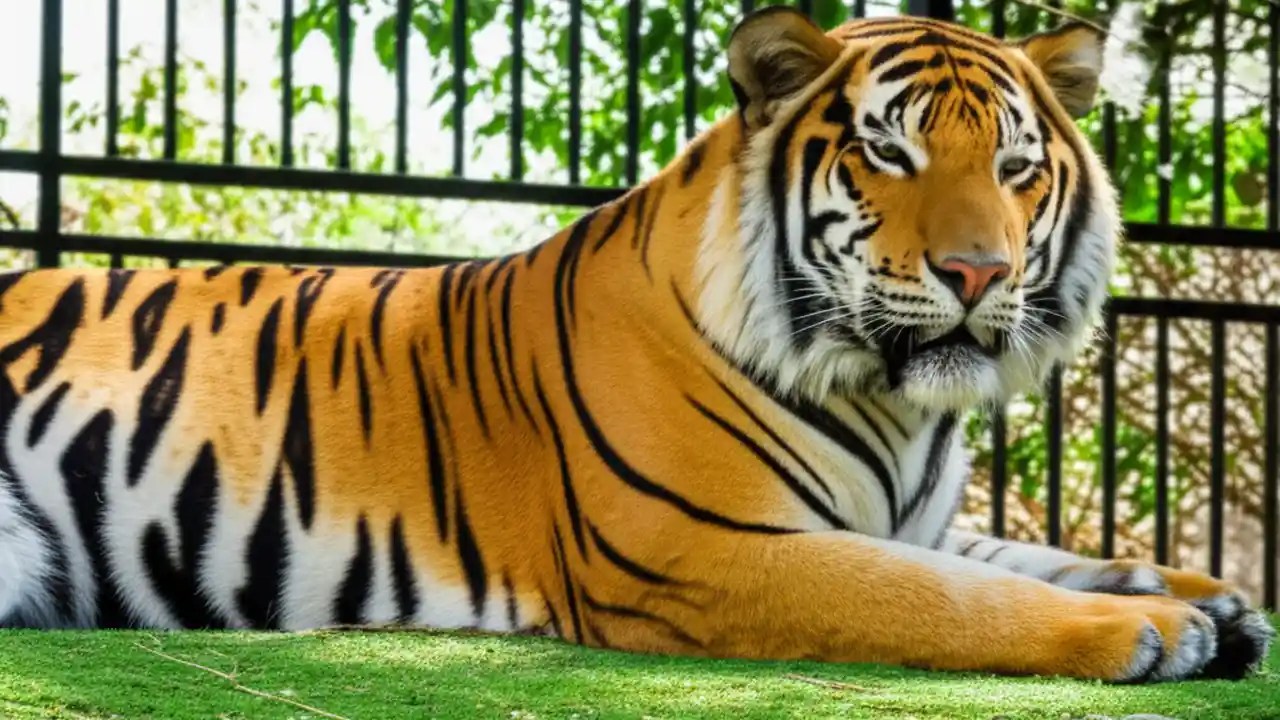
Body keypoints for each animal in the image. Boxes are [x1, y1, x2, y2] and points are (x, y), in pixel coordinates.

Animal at [0, 8, 1271, 683]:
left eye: (1014, 168)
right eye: (887, 153)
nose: (979, 273)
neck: (897, 407)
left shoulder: (899, 515)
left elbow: (1021, 552)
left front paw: (1215, 598)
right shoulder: (707, 546)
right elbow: (948, 599)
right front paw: (1158, 629)